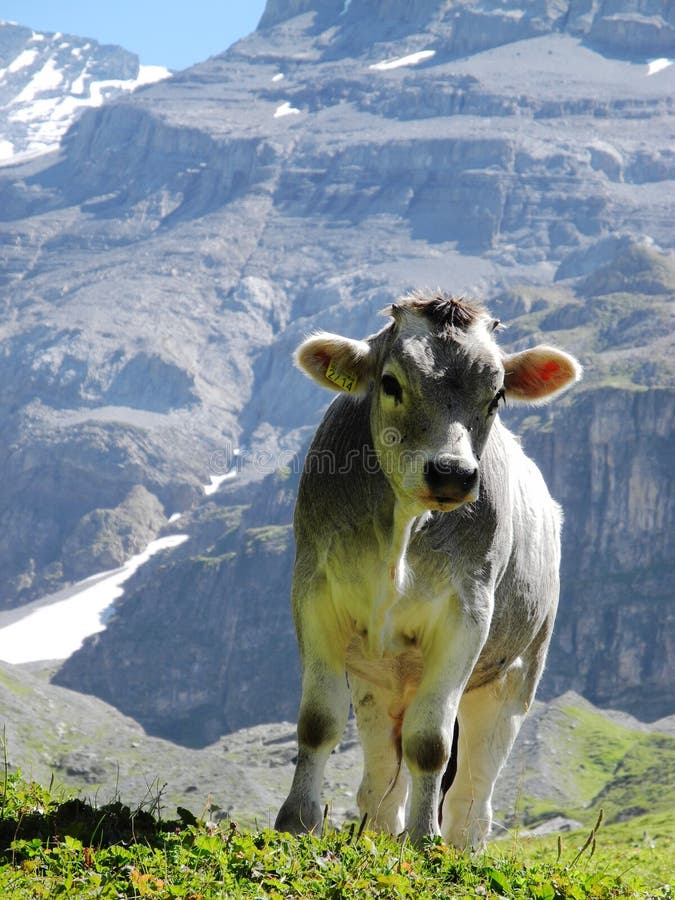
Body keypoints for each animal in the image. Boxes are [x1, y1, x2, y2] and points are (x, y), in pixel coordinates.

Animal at [275, 292, 581, 849]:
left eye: (497, 397)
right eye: (391, 382)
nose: (452, 473)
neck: (403, 526)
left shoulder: (467, 616)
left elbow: (430, 744)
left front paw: (422, 840)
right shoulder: (314, 592)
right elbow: (317, 721)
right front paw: (298, 823)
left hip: (515, 673)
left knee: (473, 792)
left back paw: (460, 847)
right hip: (377, 682)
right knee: (381, 781)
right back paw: (377, 836)